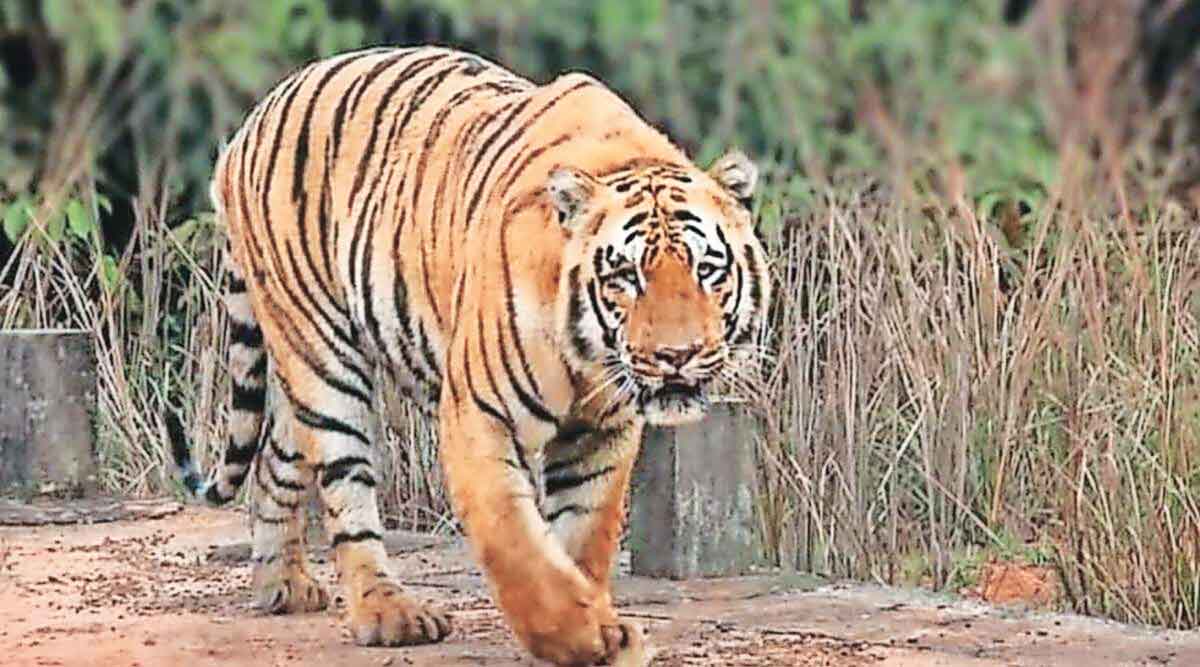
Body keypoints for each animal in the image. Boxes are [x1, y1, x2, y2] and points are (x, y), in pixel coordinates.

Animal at [170, 45, 769, 665]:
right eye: (626, 277)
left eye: (707, 270)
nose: (677, 355)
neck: (589, 358)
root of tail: (251, 122)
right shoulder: (480, 414)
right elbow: (516, 541)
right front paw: (576, 635)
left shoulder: (603, 432)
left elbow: (583, 537)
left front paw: (598, 624)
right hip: (322, 358)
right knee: (345, 489)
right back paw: (390, 614)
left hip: (299, 376)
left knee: (275, 458)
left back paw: (281, 583)